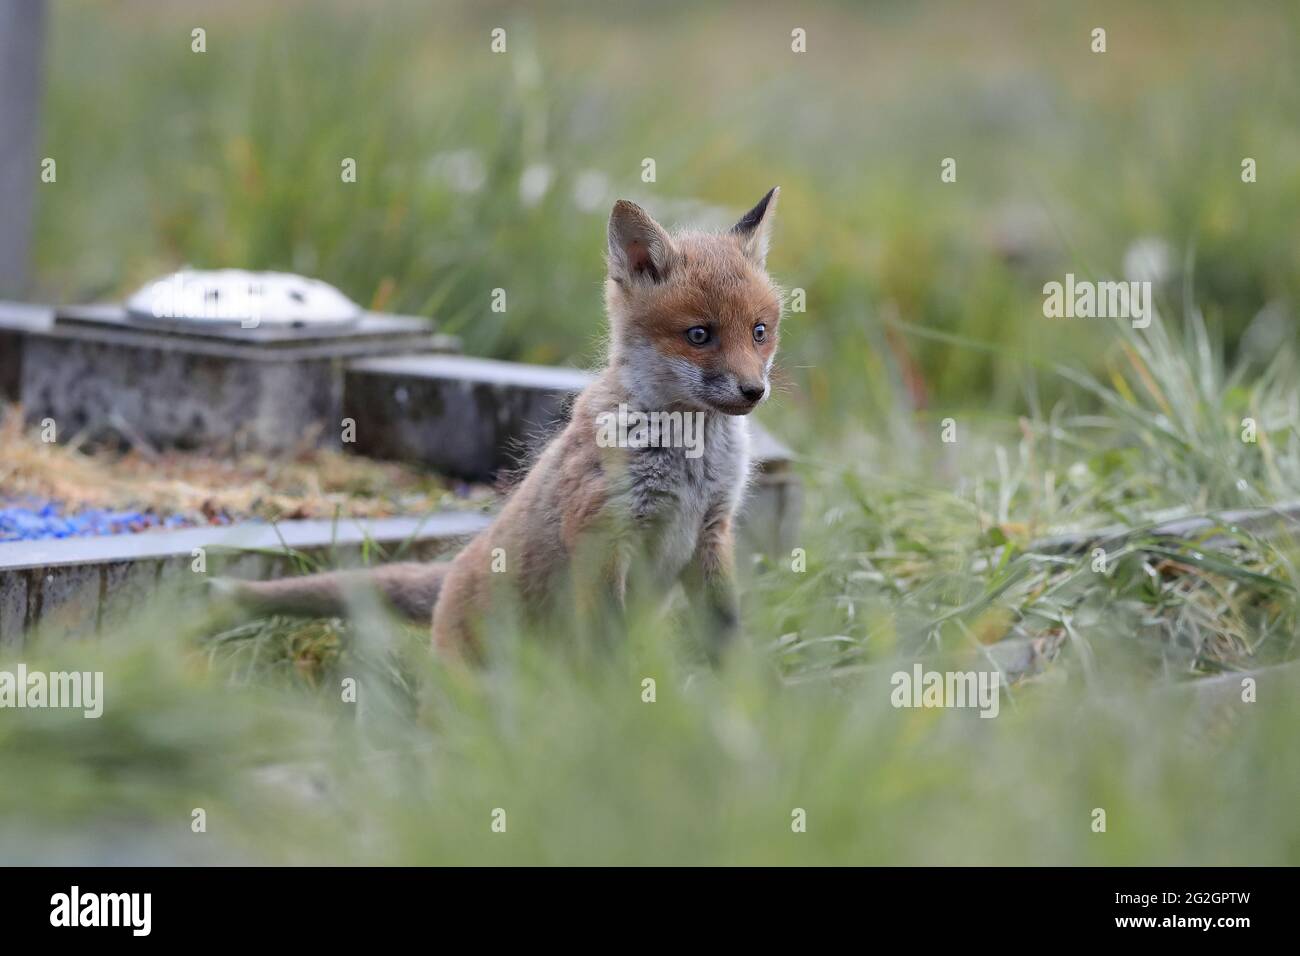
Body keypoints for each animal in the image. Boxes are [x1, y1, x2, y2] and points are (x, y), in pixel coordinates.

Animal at [222, 188, 784, 661]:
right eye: (699, 335)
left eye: (760, 332)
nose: (754, 392)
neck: (690, 462)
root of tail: (450, 573)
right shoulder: (603, 537)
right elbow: (610, 653)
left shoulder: (712, 532)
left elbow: (727, 638)